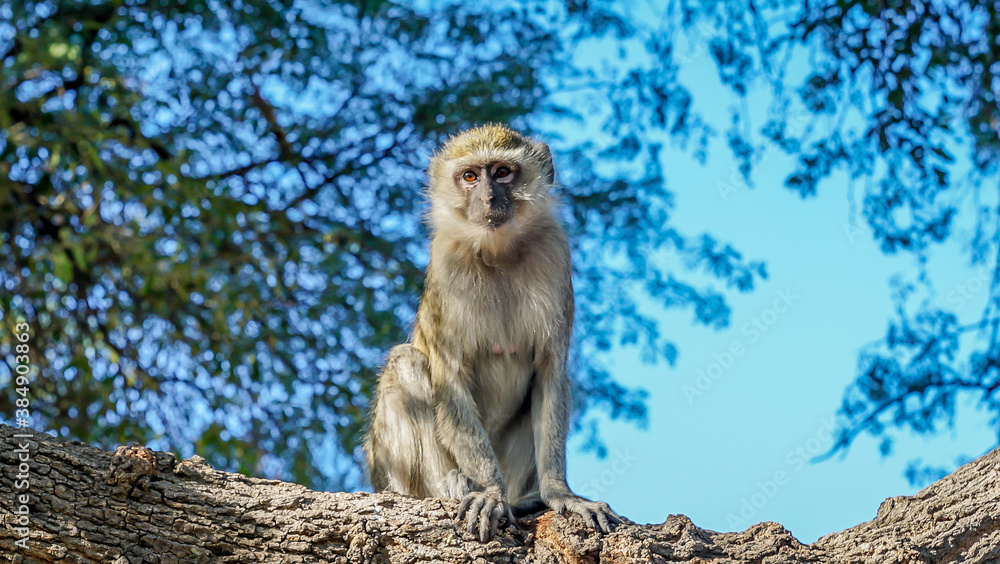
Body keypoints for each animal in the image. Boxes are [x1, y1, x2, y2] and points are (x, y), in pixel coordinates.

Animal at [364, 124, 621, 542]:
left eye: (502, 172)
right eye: (470, 176)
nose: (487, 197)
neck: (498, 252)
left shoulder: (555, 251)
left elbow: (550, 375)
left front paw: (559, 494)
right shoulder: (446, 262)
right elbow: (449, 379)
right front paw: (491, 492)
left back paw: (525, 499)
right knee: (405, 362)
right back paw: (450, 485)